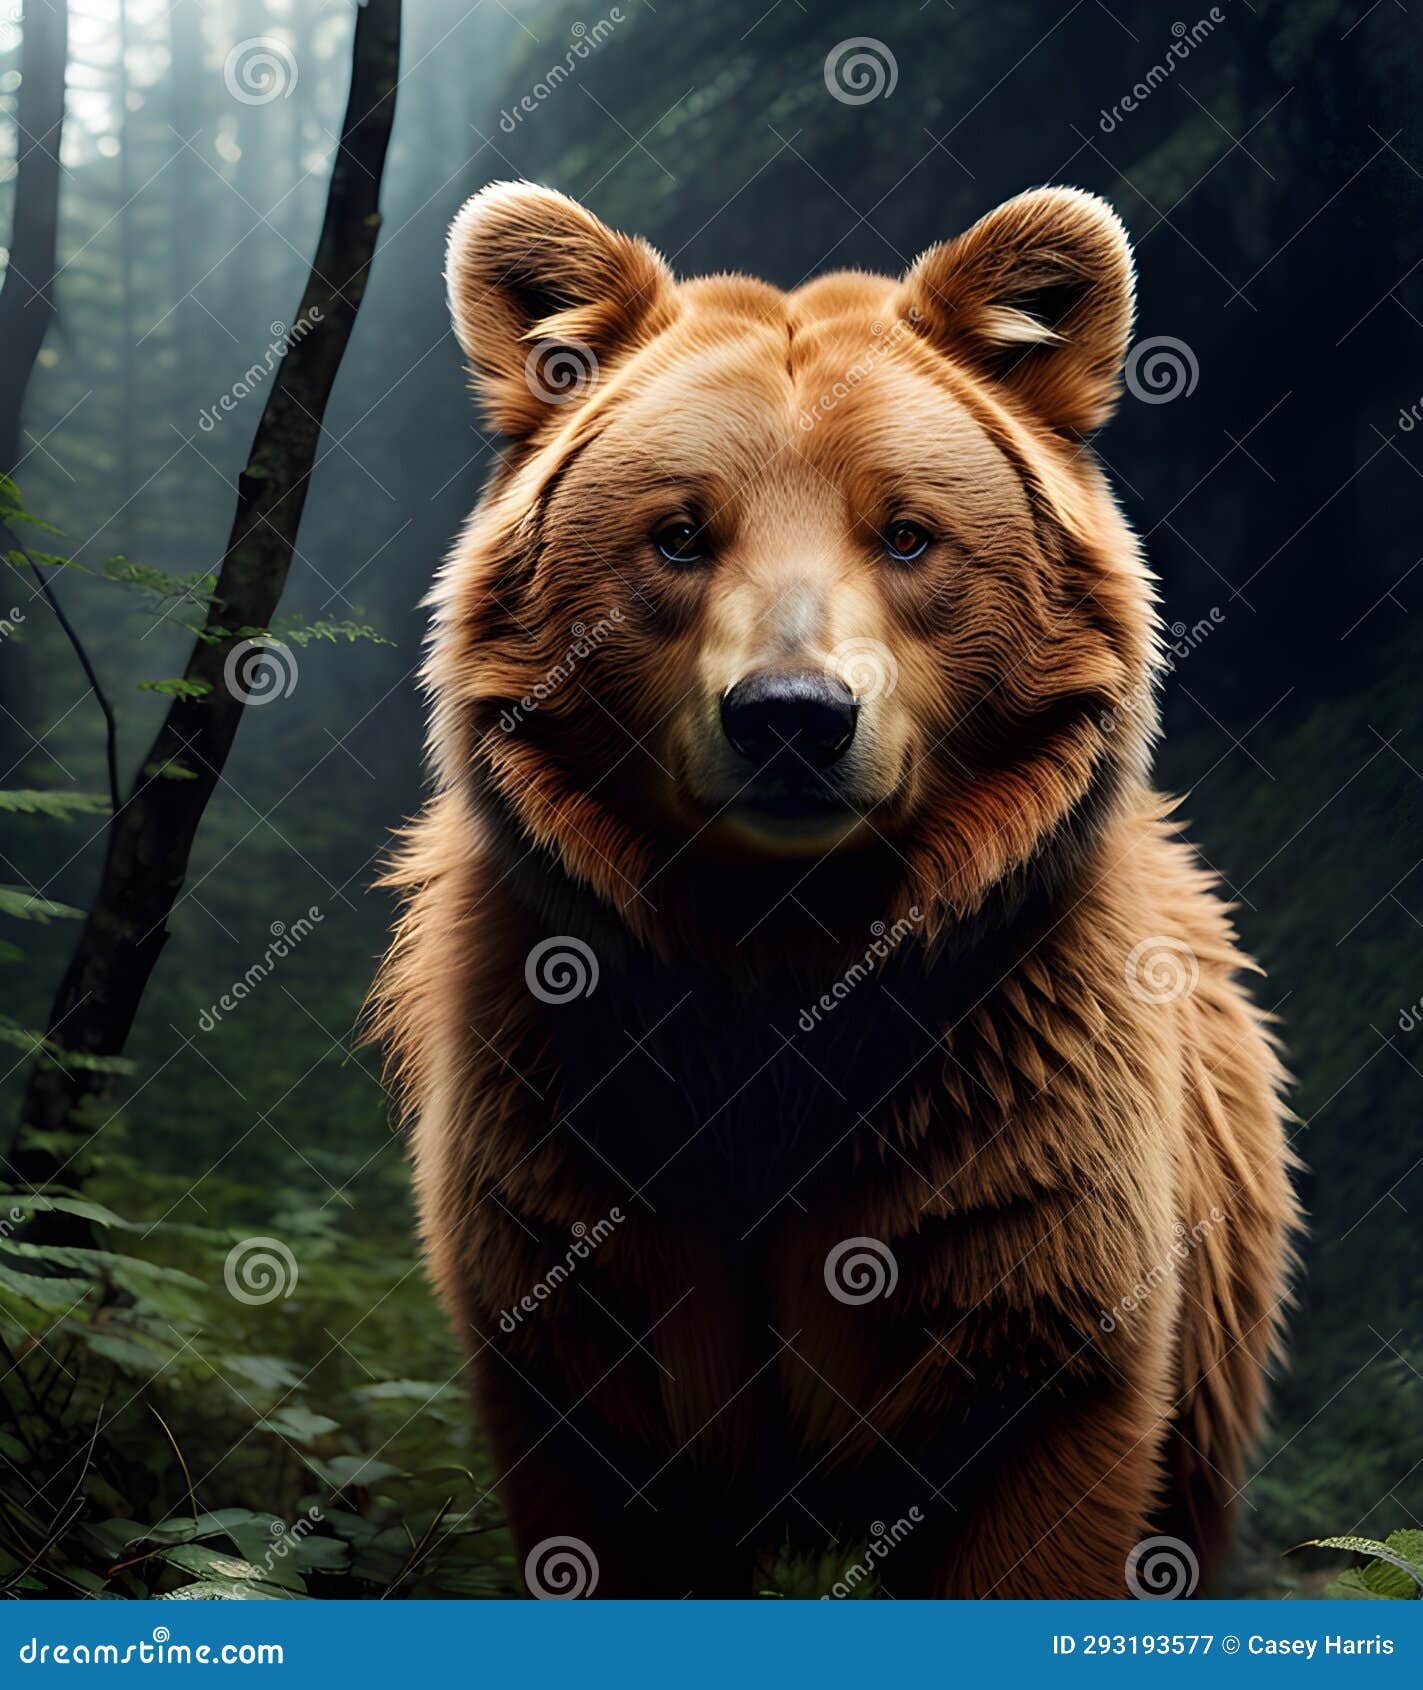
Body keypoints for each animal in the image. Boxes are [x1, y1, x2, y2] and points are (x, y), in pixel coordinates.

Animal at [371, 180, 1299, 1599]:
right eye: (679, 533)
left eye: (906, 531)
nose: (792, 715)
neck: (780, 959)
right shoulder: (575, 1168)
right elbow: (602, 1489)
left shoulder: (1010, 1165)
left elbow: (1033, 1480)